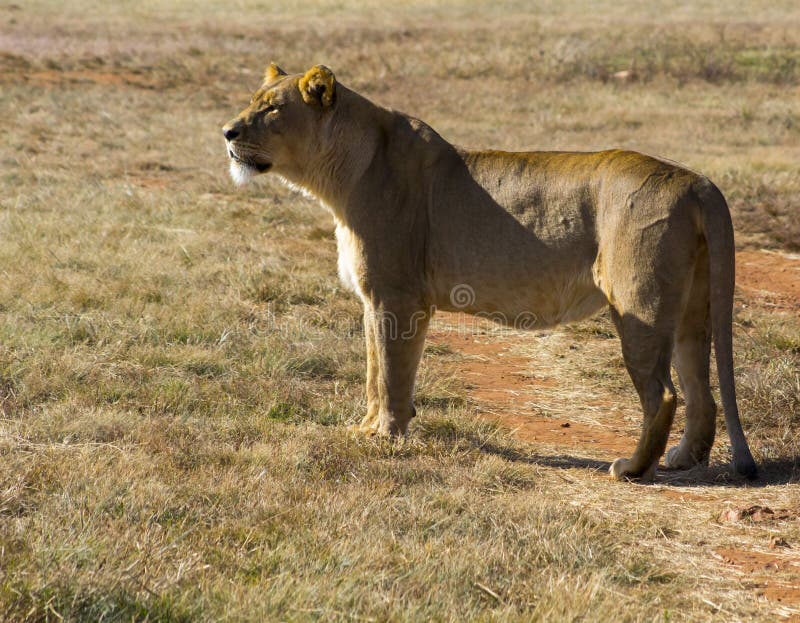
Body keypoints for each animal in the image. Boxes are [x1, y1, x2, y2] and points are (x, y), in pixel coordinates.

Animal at [223, 63, 758, 481]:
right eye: (252, 102)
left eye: (273, 110)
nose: (227, 132)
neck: (341, 175)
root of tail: (697, 182)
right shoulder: (378, 301)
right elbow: (375, 369)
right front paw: (369, 428)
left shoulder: (397, 297)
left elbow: (391, 372)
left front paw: (386, 437)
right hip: (691, 307)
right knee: (701, 389)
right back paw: (683, 458)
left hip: (639, 306)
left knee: (664, 393)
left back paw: (633, 468)